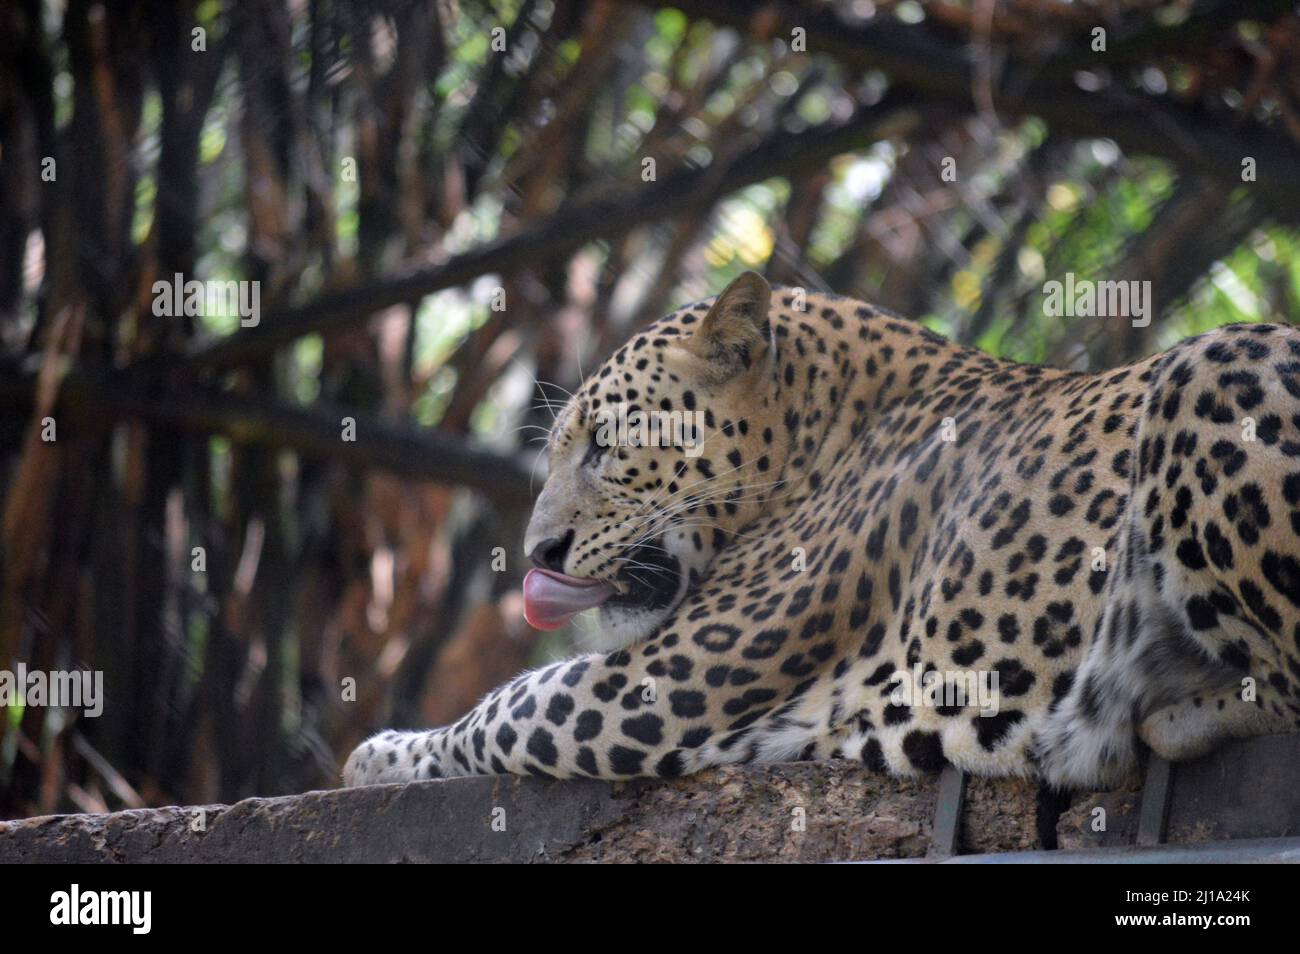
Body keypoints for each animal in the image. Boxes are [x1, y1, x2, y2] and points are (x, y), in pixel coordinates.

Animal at [343, 271, 1300, 792]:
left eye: (609, 445)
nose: (539, 554)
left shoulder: (662, 686)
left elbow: (502, 710)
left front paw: (375, 755)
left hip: (1201, 366)